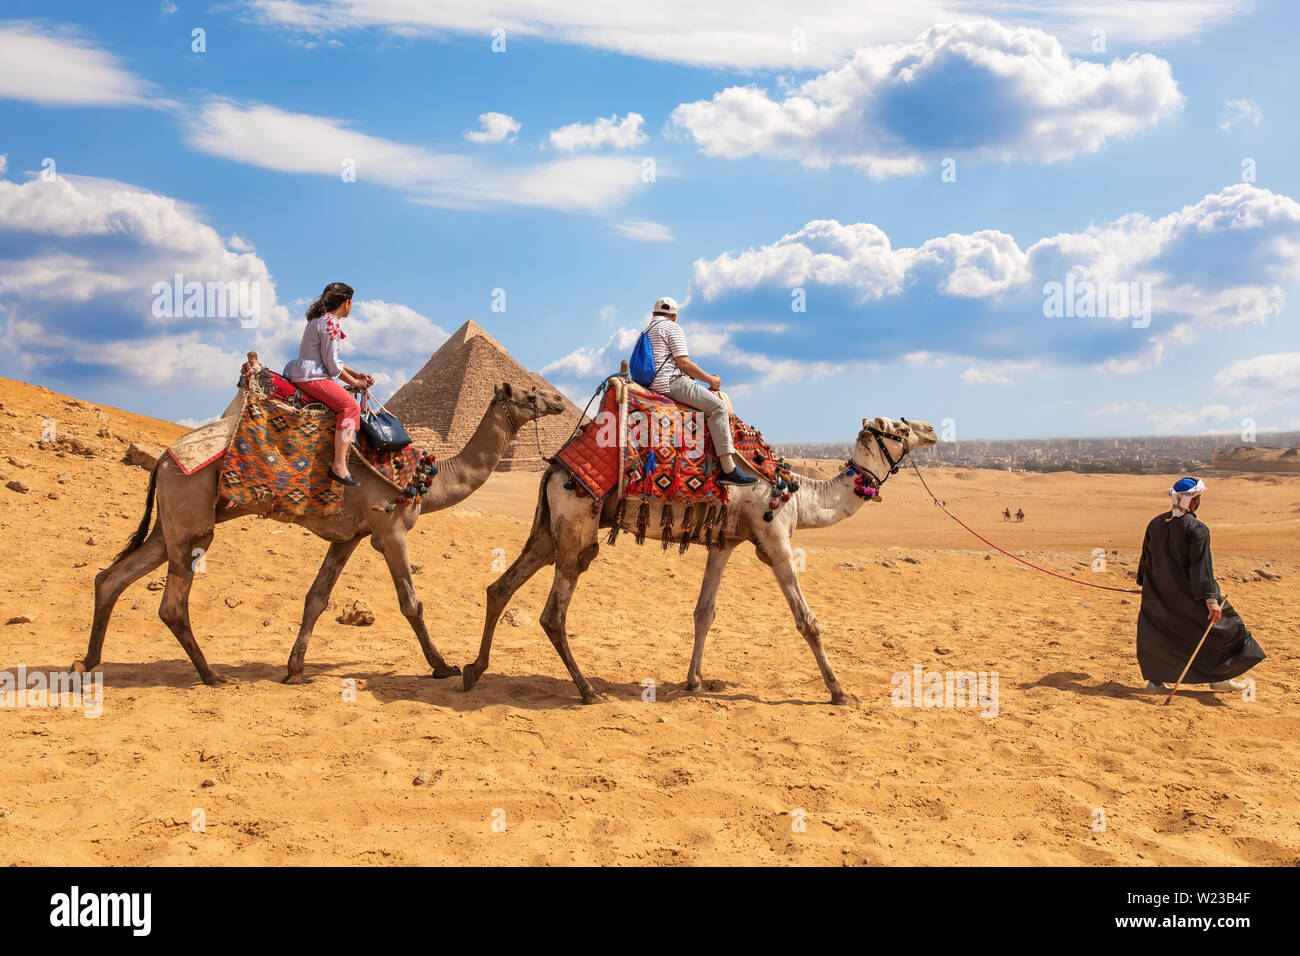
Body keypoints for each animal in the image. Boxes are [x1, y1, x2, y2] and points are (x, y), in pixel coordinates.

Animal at [75, 382, 568, 686]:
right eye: (529, 391)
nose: (561, 400)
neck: (427, 477)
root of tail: (161, 458)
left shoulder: (348, 537)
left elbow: (316, 598)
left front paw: (295, 668)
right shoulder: (388, 528)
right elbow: (412, 602)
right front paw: (443, 666)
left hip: (171, 525)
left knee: (112, 577)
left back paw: (89, 662)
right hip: (192, 519)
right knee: (171, 605)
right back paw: (212, 676)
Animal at [462, 414, 938, 705]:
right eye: (898, 427)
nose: (932, 428)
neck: (800, 496)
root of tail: (551, 468)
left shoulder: (724, 543)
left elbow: (703, 612)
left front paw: (693, 682)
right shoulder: (776, 542)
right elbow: (807, 621)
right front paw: (839, 692)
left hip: (549, 532)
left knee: (501, 586)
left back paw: (474, 670)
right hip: (577, 528)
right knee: (554, 613)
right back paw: (586, 690)